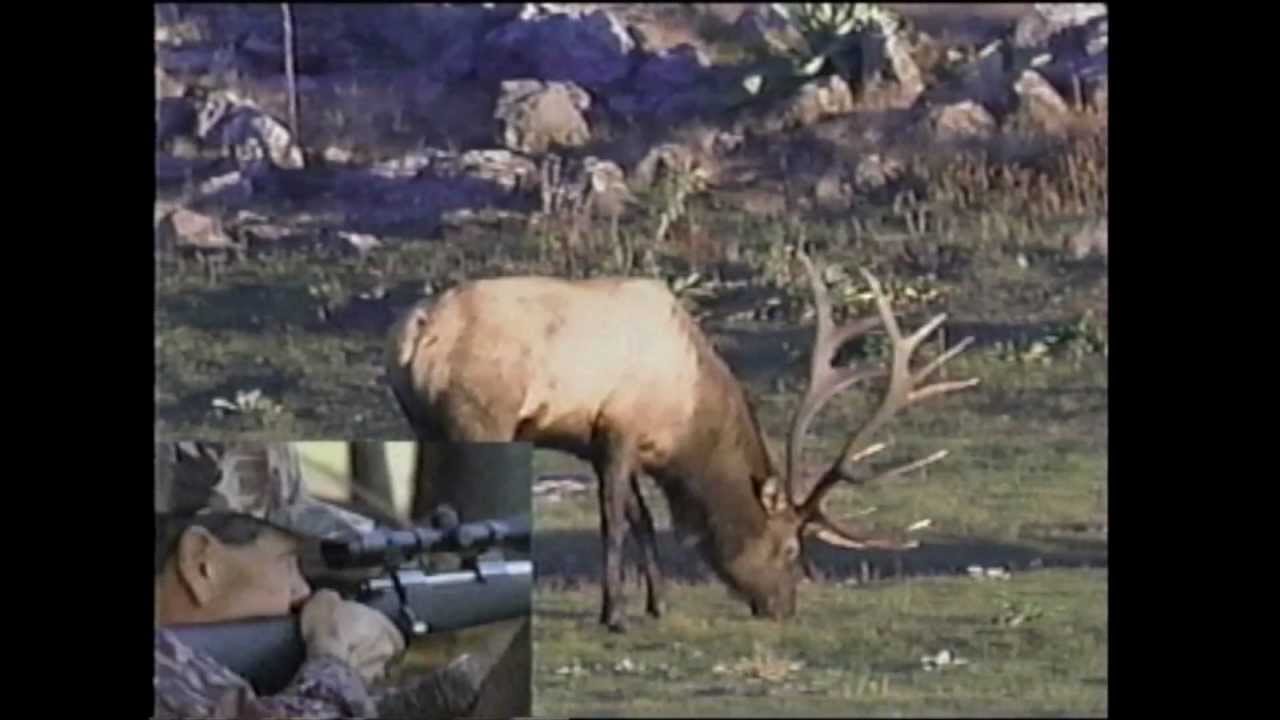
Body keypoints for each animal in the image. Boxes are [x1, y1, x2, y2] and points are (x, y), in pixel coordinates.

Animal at [385, 246, 978, 632]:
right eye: (789, 547)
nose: (784, 609)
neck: (685, 421)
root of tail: (417, 335)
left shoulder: (601, 443)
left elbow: (643, 520)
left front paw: (657, 604)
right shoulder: (617, 429)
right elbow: (615, 522)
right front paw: (615, 614)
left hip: (423, 419)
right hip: (480, 415)